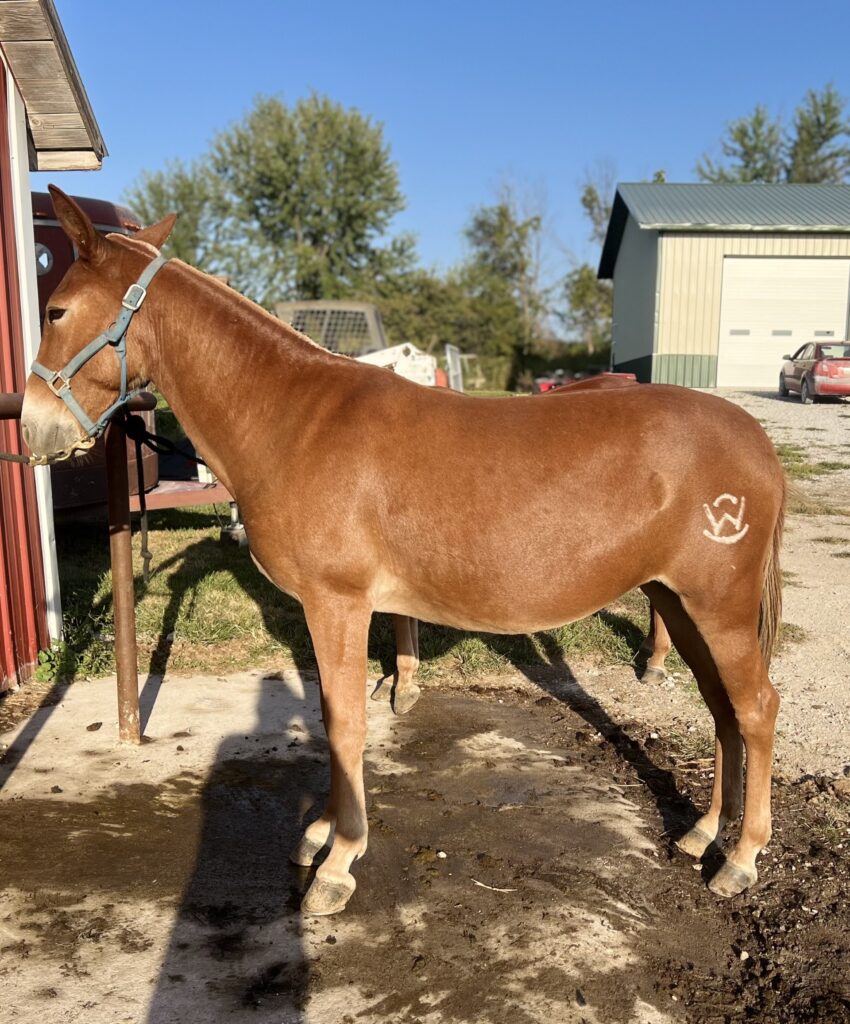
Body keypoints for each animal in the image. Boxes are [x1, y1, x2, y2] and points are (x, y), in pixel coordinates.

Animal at [21, 187, 784, 916]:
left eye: (56, 310)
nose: (29, 428)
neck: (294, 420)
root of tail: (757, 440)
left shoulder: (338, 605)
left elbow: (345, 725)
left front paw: (338, 860)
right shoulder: (334, 611)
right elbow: (331, 720)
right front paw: (321, 833)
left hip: (718, 605)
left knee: (755, 708)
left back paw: (743, 858)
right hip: (677, 601)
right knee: (722, 710)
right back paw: (701, 833)